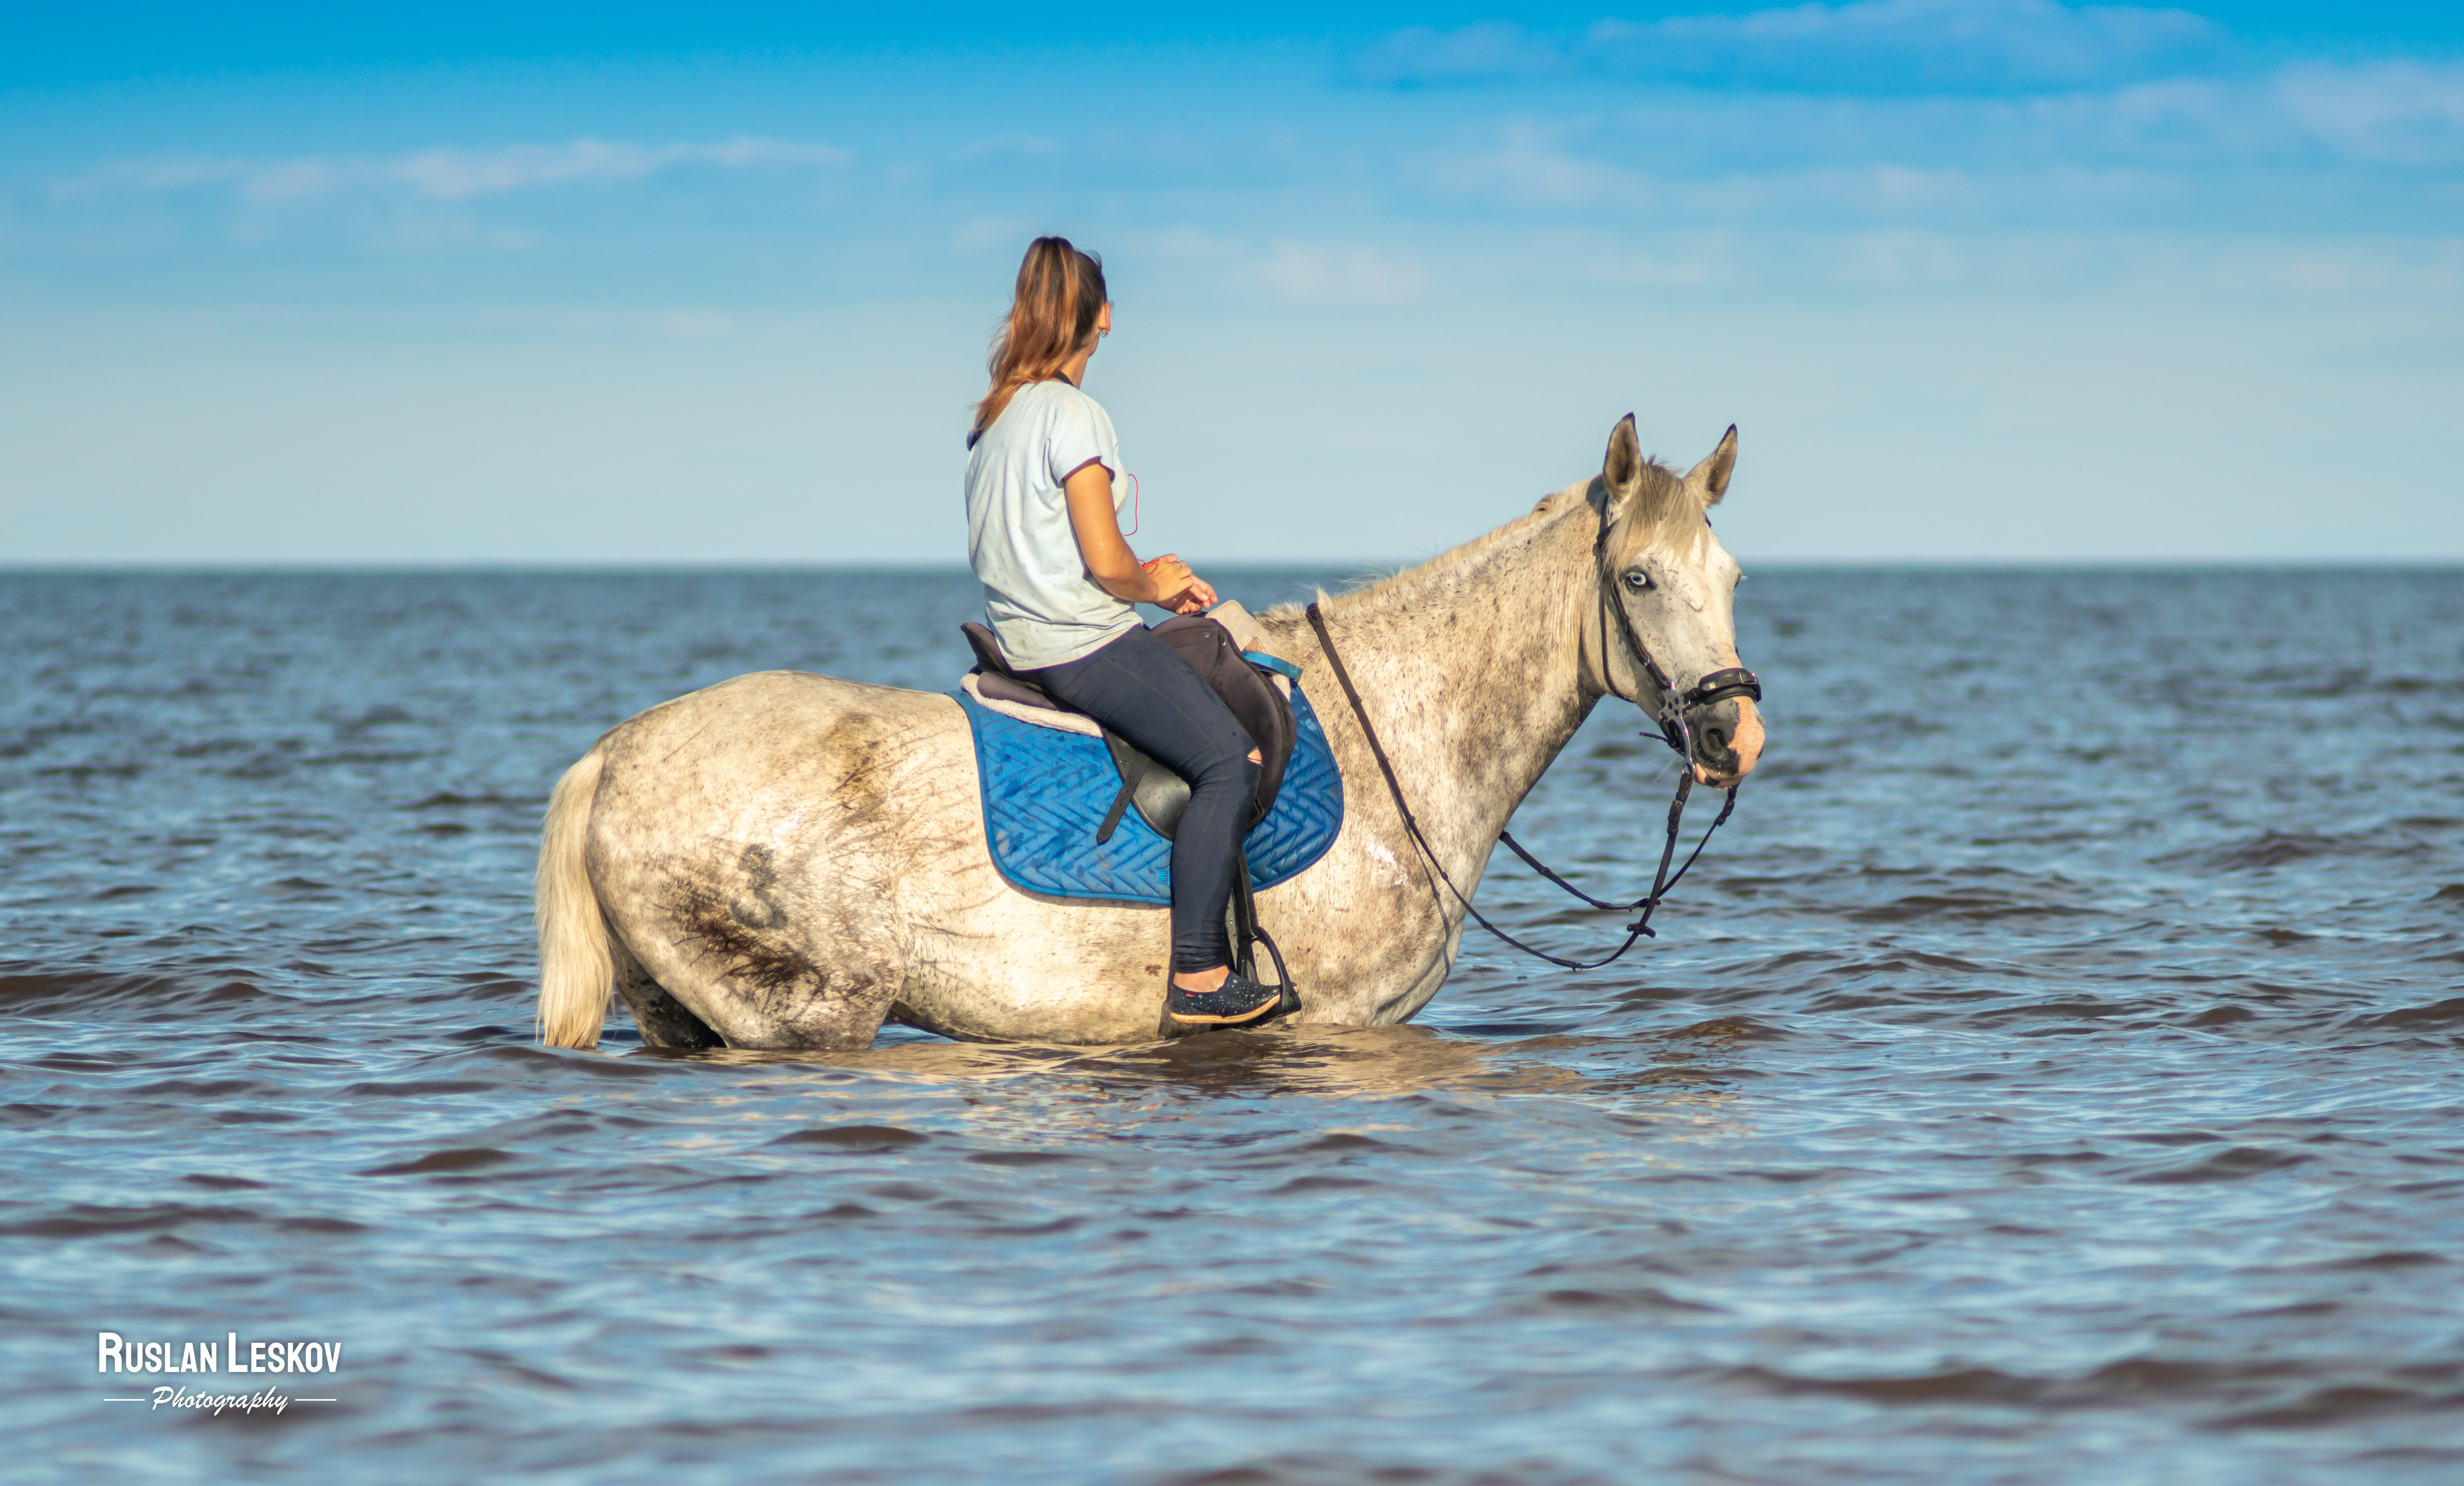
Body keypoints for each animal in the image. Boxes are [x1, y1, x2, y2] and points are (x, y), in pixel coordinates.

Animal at [534, 414, 1774, 1054]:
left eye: (1731, 577)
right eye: (1638, 577)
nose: (1733, 734)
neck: (1397, 733)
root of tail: (615, 753)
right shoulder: (1333, 1022)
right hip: (801, 1013)